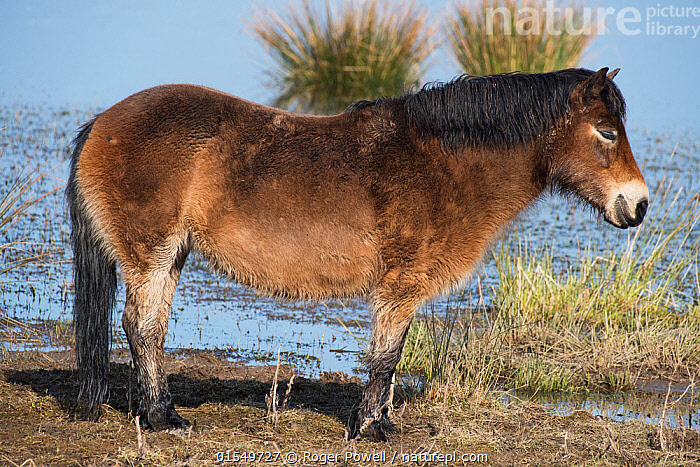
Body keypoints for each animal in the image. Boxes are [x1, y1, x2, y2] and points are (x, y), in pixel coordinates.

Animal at [67, 67, 648, 441]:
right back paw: (161, 420)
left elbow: (392, 353)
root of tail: (103, 122)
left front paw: (379, 420)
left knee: (150, 327)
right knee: (140, 325)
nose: (638, 205)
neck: (442, 162)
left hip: (170, 255)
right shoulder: (402, 283)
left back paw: (161, 412)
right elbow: (386, 355)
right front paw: (372, 428)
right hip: (151, 253)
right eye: (606, 131)